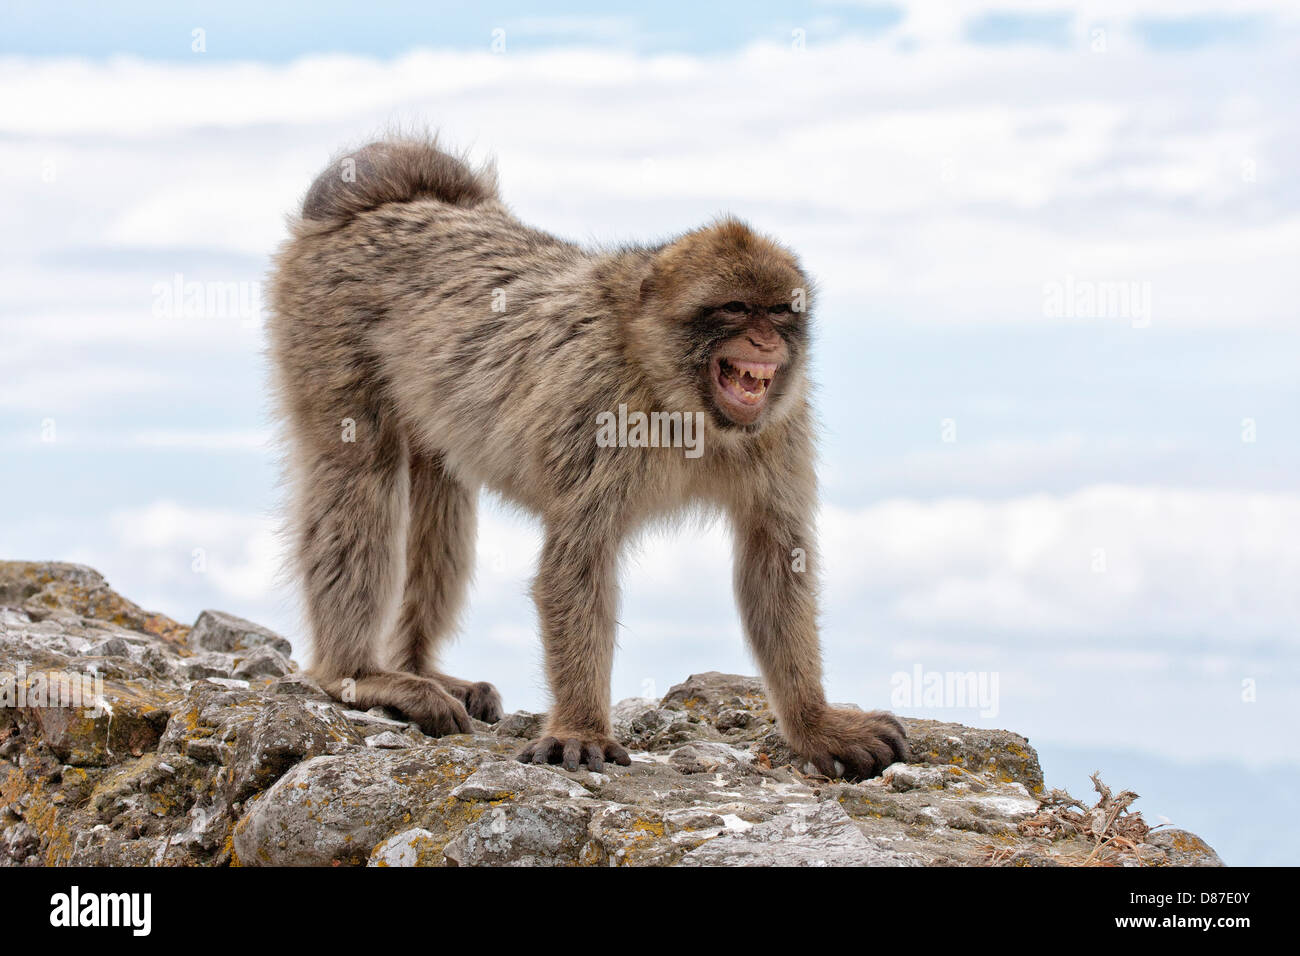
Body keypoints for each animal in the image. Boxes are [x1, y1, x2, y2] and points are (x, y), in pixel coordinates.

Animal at [268, 136, 907, 779]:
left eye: (778, 311)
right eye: (733, 308)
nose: (765, 343)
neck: (674, 396)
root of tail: (386, 203)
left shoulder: (780, 426)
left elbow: (774, 555)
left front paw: (816, 725)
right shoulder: (598, 407)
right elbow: (578, 560)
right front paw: (580, 729)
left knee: (443, 487)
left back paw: (420, 667)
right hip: (323, 322)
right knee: (358, 470)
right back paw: (361, 676)